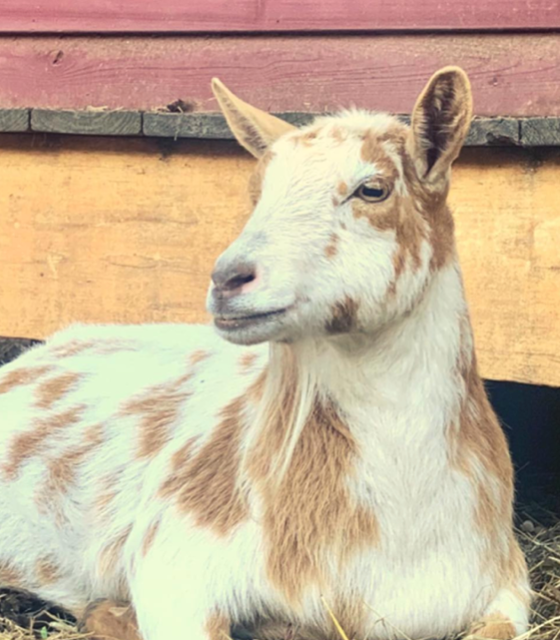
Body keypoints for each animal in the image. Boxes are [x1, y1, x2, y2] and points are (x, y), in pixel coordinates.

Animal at [0, 67, 530, 640]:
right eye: (257, 192)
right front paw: (111, 613)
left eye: (373, 188)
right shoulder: (173, 560)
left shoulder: (507, 585)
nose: (228, 277)